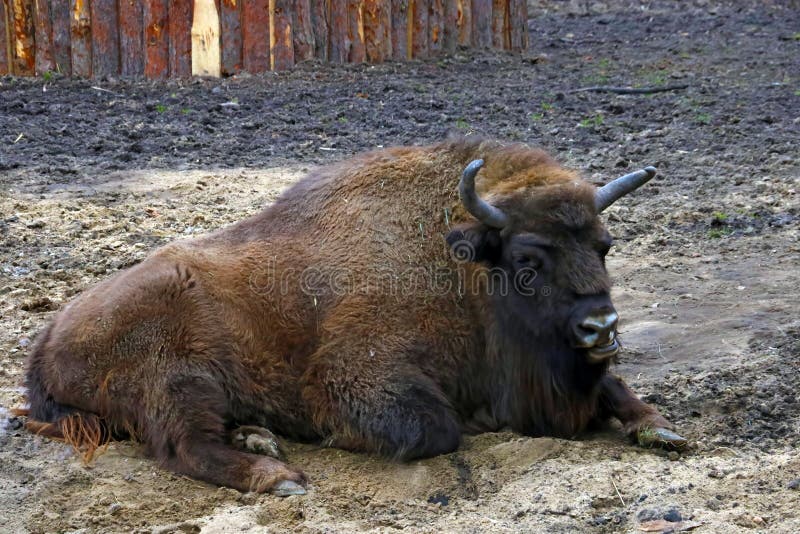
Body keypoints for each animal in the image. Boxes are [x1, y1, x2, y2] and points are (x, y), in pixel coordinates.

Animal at [19, 138, 686, 496]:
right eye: (527, 258)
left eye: (604, 246)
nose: (601, 328)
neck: (456, 265)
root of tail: (47, 338)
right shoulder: (353, 375)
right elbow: (436, 428)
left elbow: (618, 389)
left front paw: (660, 428)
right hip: (178, 378)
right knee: (185, 447)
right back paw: (277, 474)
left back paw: (258, 434)